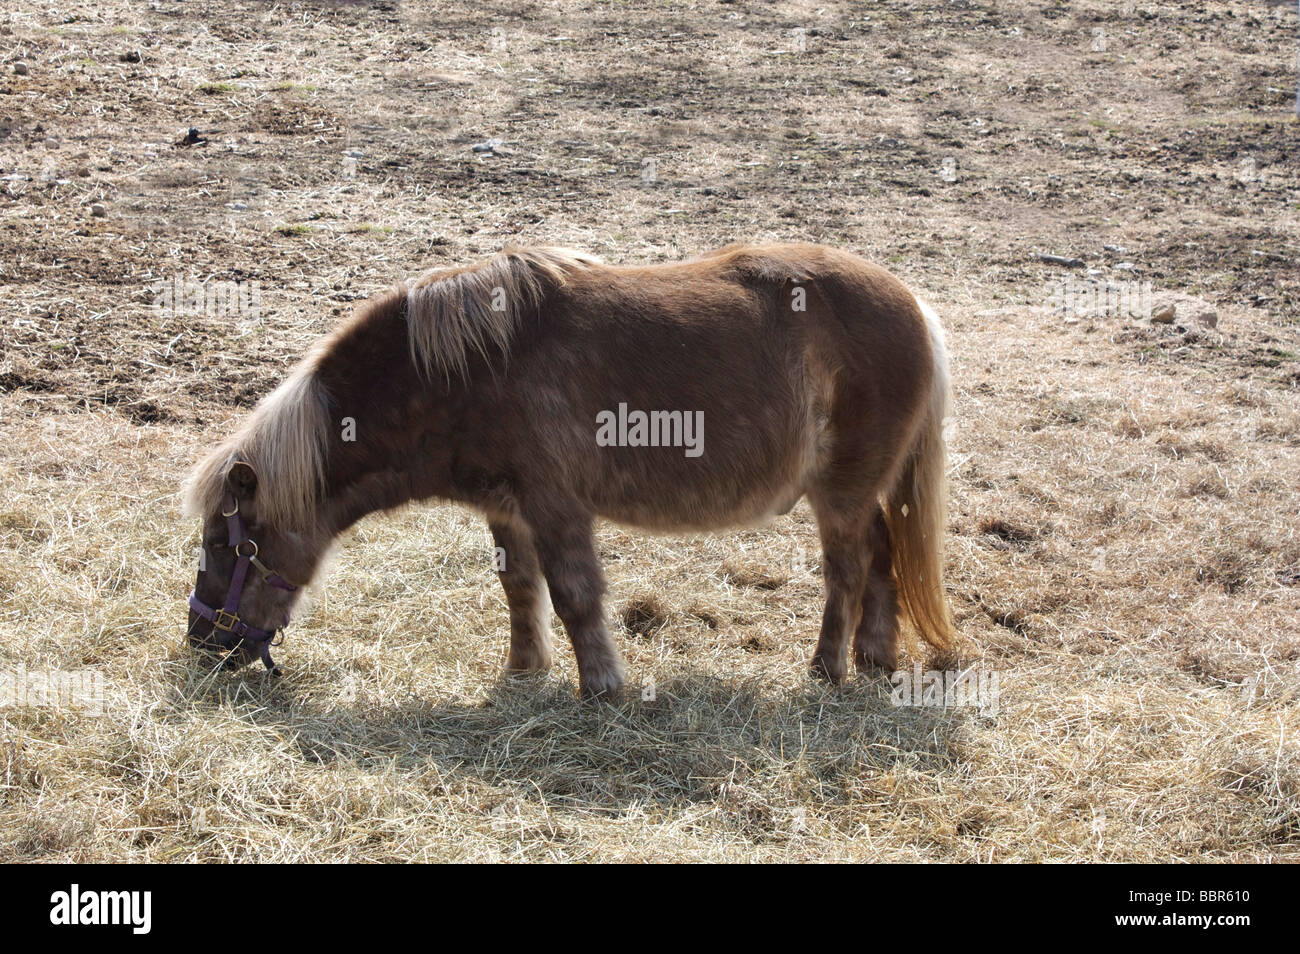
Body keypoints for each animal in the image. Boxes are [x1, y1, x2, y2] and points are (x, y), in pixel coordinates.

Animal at [185, 243, 954, 697]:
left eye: (229, 543)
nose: (204, 641)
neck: (469, 370)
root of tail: (915, 306)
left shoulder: (556, 506)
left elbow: (575, 595)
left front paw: (602, 686)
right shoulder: (506, 509)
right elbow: (520, 590)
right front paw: (525, 671)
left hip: (841, 492)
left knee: (848, 570)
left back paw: (827, 669)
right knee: (881, 556)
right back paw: (876, 661)